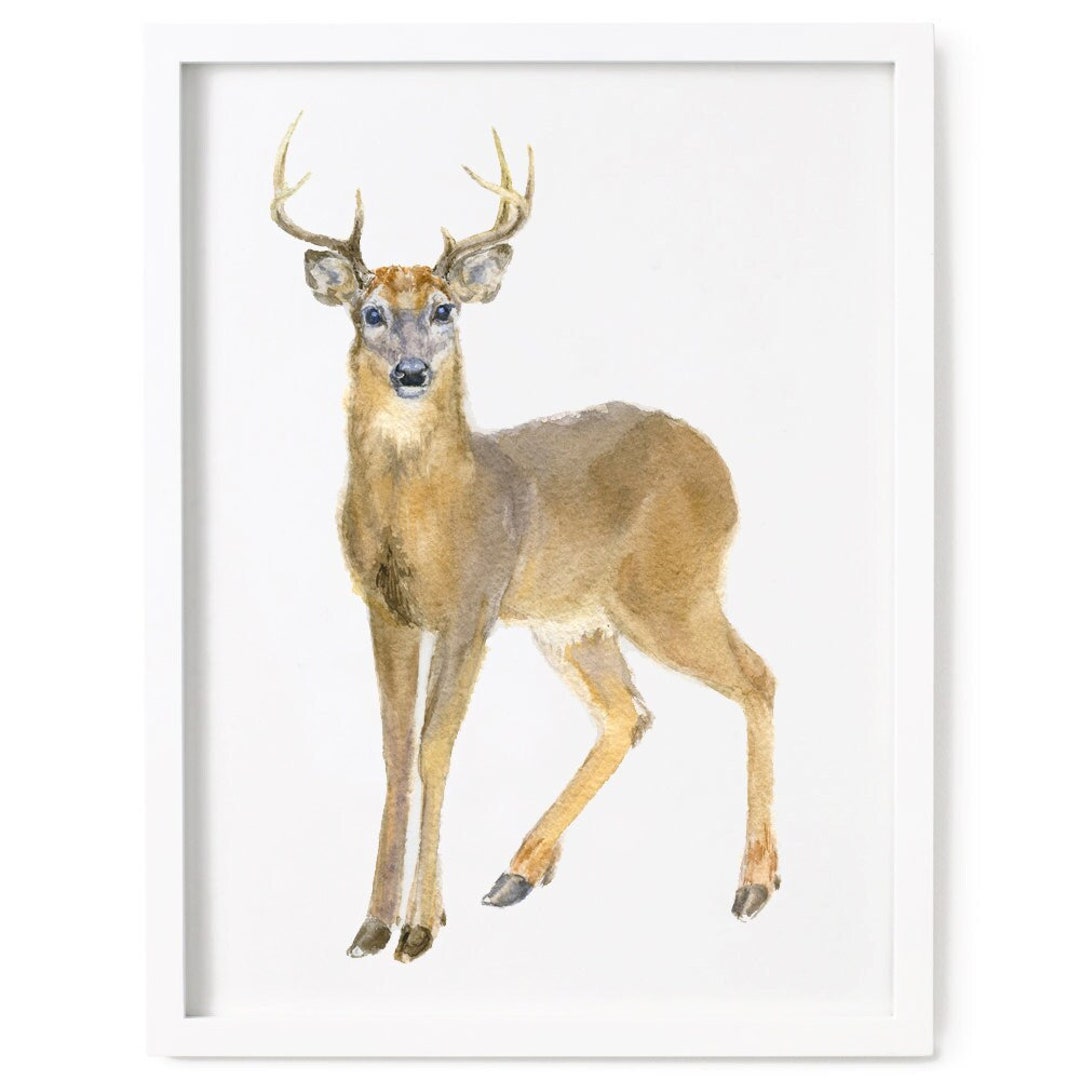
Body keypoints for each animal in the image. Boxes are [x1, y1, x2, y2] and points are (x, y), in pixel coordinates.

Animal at [270, 114, 779, 963]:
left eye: (445, 309)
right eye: (370, 312)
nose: (412, 372)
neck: (428, 514)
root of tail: (721, 468)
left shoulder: (471, 608)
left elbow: (435, 747)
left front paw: (418, 926)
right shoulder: (386, 611)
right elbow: (395, 750)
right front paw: (372, 925)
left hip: (668, 589)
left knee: (756, 677)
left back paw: (755, 885)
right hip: (576, 622)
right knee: (628, 716)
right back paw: (516, 872)